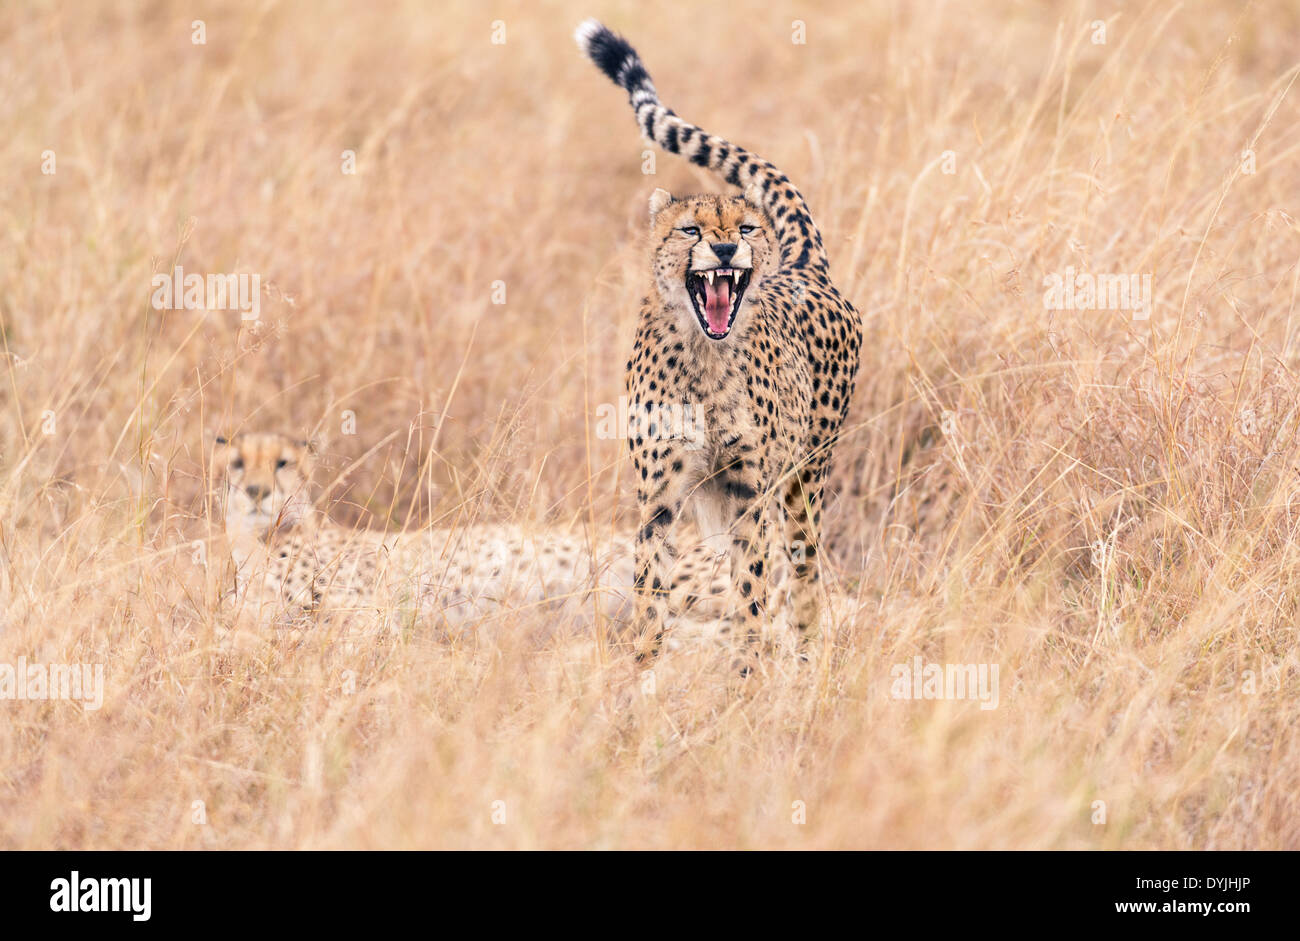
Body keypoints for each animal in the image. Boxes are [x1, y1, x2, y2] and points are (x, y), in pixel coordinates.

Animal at [575, 20, 863, 662]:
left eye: (746, 227)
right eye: (691, 230)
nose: (728, 248)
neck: (704, 354)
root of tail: (803, 267)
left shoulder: (746, 488)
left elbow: (753, 584)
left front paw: (749, 667)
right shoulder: (661, 490)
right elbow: (651, 580)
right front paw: (643, 665)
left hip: (807, 478)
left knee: (803, 573)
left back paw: (806, 658)